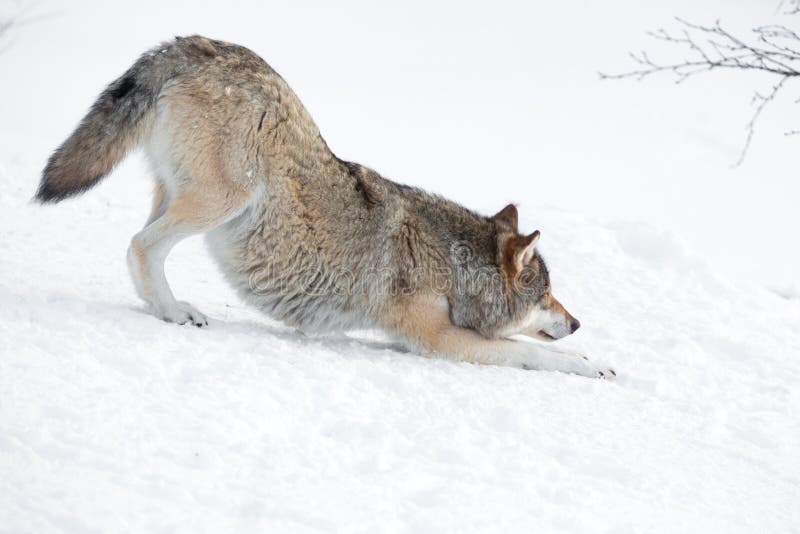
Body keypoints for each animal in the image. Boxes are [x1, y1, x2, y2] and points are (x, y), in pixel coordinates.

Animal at [36, 36, 614, 379]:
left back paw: (163, 308)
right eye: (547, 295)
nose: (578, 321)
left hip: (178, 195)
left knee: (139, 248)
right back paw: (176, 312)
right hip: (223, 200)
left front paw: (588, 354)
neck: (454, 264)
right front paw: (592, 364)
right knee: (139, 245)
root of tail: (193, 45)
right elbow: (532, 351)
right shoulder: (436, 339)